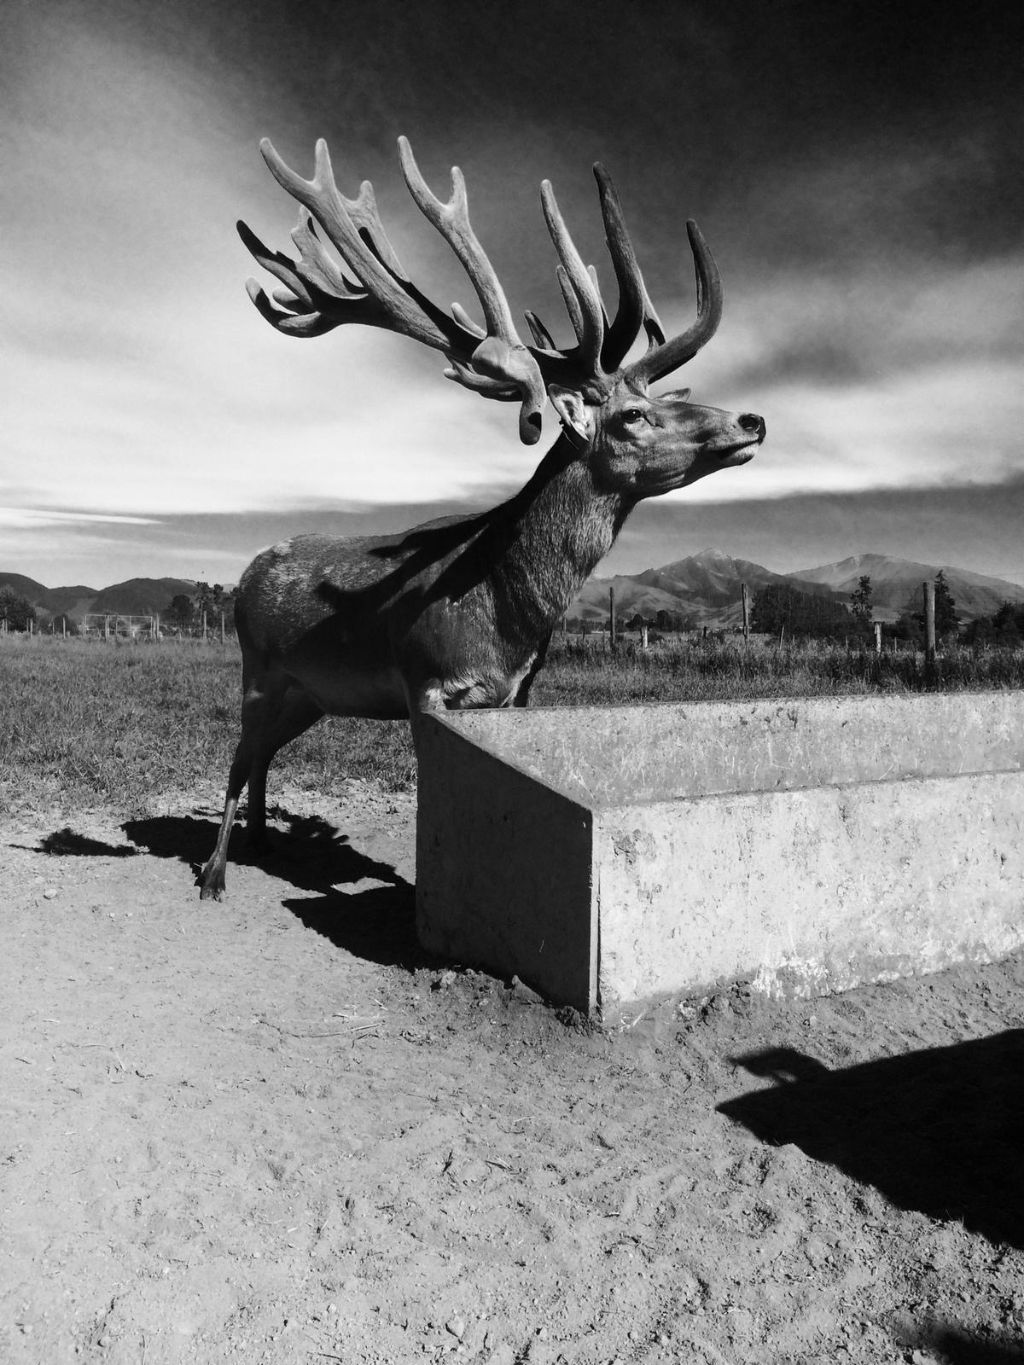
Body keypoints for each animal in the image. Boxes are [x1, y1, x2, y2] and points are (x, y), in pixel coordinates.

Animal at [199, 135, 765, 899]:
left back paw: (263, 843)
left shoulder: (514, 695)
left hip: (309, 689)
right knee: (236, 755)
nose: (750, 419)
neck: (504, 610)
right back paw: (214, 871)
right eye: (632, 414)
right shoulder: (426, 683)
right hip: (257, 667)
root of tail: (250, 570)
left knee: (260, 755)